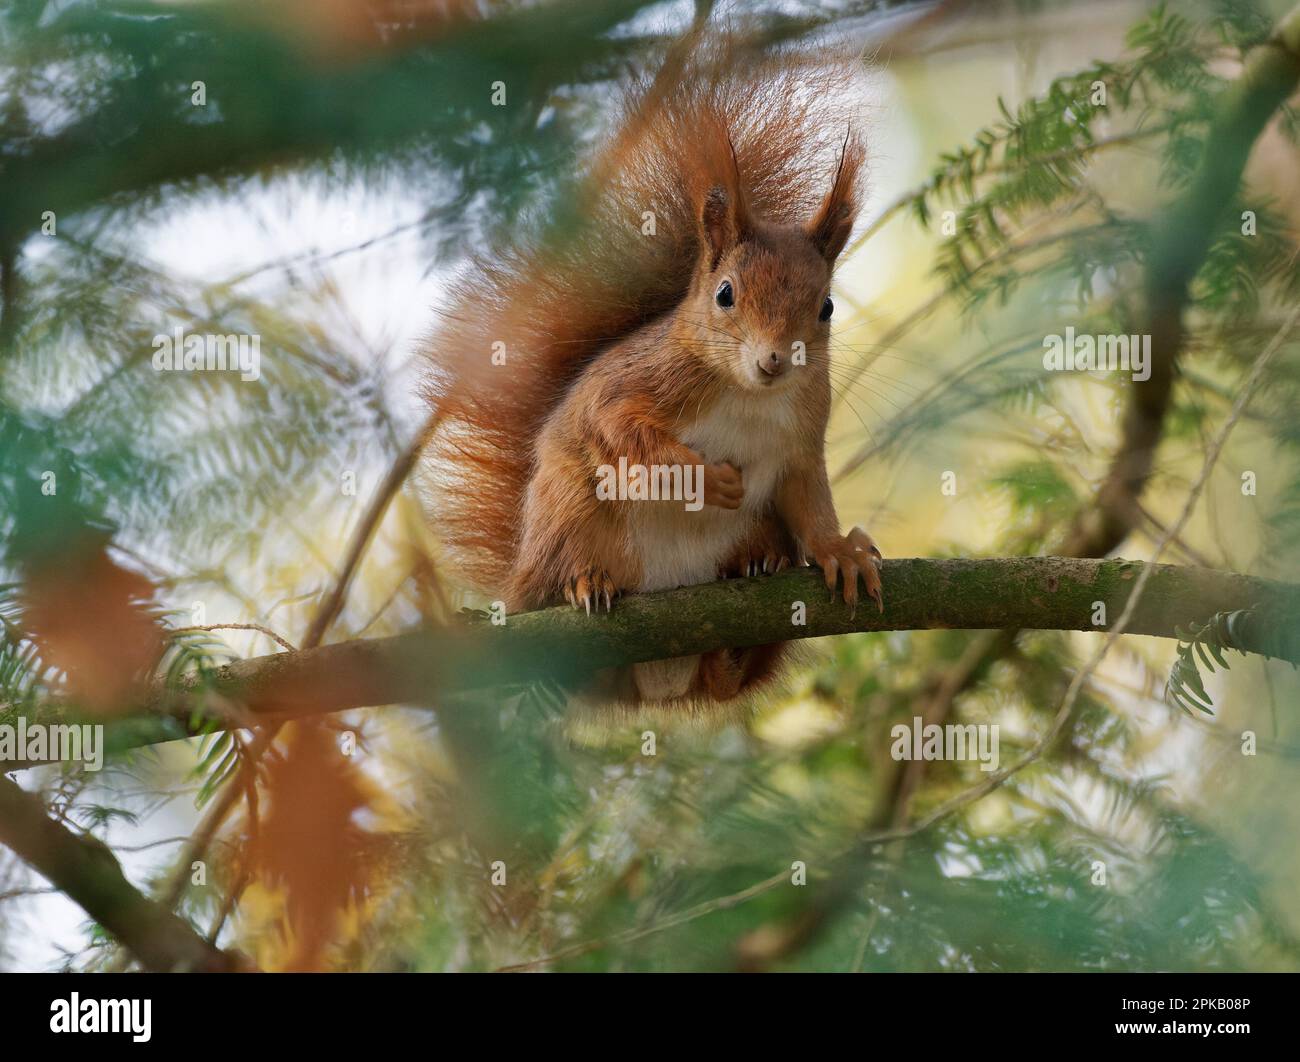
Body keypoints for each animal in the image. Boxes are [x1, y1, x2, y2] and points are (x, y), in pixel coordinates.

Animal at [422, 39, 882, 708]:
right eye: (725, 294)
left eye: (825, 307)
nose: (774, 359)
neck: (747, 393)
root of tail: (658, 681)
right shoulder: (638, 385)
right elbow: (624, 429)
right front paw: (707, 479)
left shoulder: (801, 436)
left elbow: (809, 502)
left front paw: (840, 552)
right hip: (571, 510)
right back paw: (584, 583)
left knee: (725, 680)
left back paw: (751, 583)